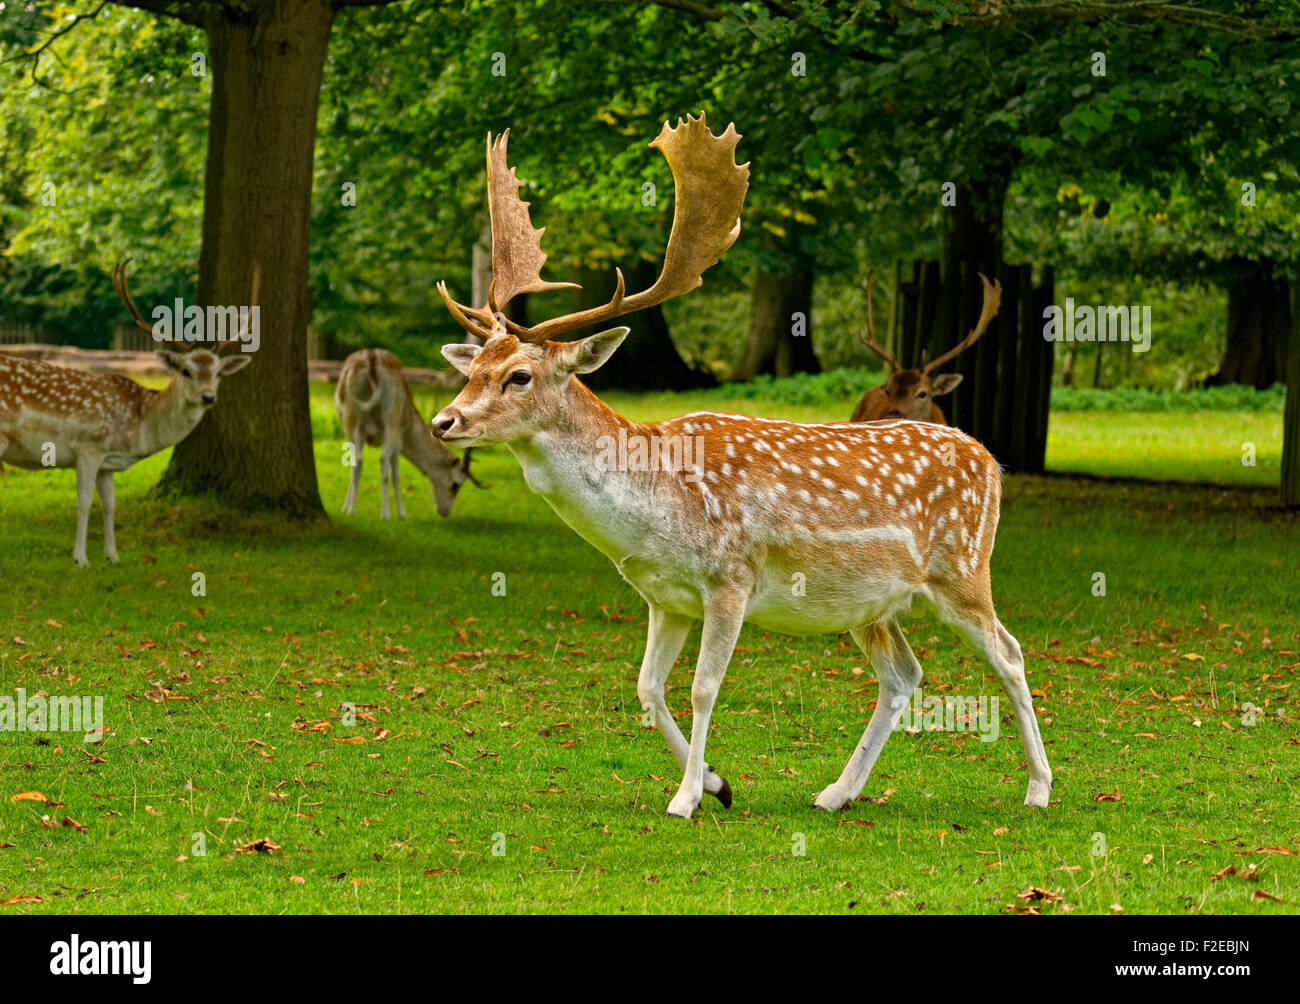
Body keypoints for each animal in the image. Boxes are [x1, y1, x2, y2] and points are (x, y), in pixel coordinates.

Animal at [0, 260, 255, 566]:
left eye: (217, 373)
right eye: (186, 370)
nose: (208, 397)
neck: (139, 425)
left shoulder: (107, 463)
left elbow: (109, 505)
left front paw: (113, 555)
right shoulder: (89, 446)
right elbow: (84, 502)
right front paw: (80, 558)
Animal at [334, 347, 477, 518]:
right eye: (455, 484)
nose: (444, 512)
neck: (410, 424)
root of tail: (371, 359)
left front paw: (345, 508)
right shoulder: (399, 439)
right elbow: (395, 472)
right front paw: (402, 513)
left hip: (351, 417)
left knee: (357, 461)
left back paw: (352, 511)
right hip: (391, 417)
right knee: (383, 459)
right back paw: (385, 514)